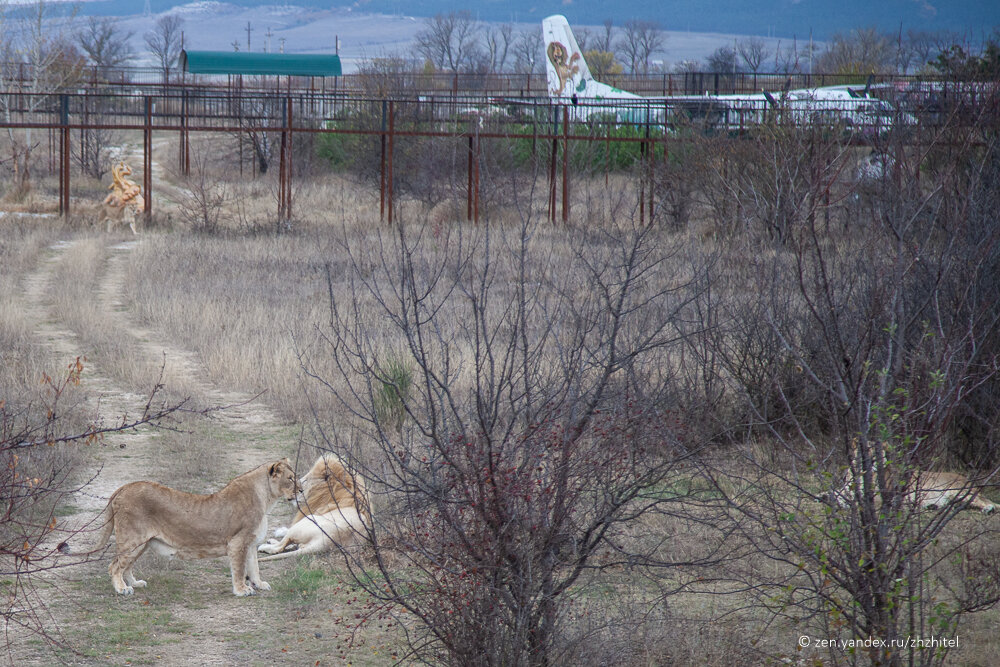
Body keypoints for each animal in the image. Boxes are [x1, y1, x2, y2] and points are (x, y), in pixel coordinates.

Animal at [94, 462, 300, 596]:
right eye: (290, 479)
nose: (301, 490)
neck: (266, 498)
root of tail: (124, 487)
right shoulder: (237, 542)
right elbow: (240, 569)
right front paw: (242, 590)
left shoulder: (250, 543)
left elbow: (254, 567)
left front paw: (260, 584)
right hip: (132, 540)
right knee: (114, 566)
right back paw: (122, 589)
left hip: (142, 543)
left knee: (126, 566)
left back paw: (135, 583)